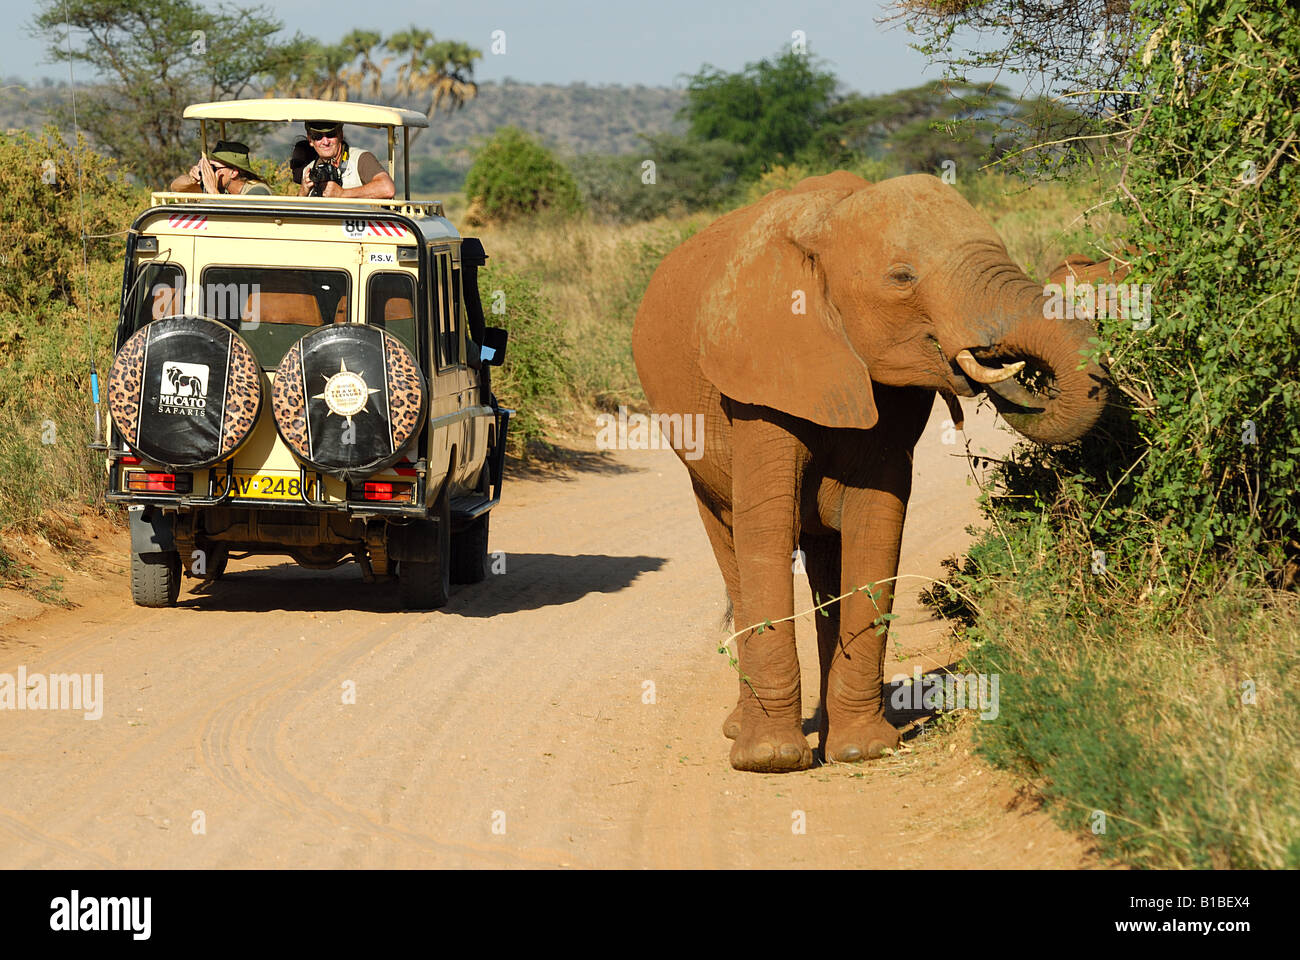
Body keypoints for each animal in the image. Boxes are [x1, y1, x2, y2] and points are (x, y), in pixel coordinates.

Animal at [632, 171, 1108, 773]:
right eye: (902, 278)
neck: (825, 223)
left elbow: (877, 522)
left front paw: (863, 750)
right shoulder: (755, 375)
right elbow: (765, 529)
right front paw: (771, 760)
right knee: (733, 548)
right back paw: (744, 731)